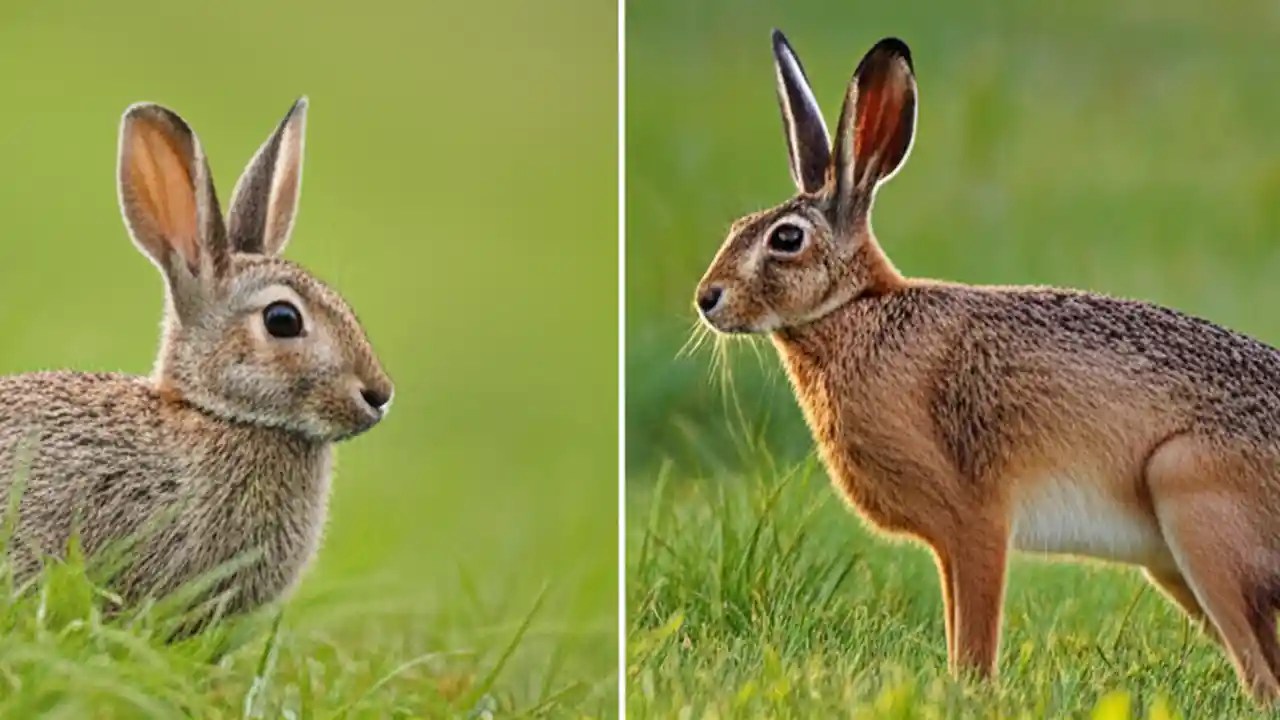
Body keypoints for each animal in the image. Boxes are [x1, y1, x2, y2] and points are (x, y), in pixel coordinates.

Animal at [694, 30, 1280, 704]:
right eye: (740, 226)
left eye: (786, 239)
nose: (706, 299)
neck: (855, 312)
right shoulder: (950, 543)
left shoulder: (975, 523)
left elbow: (973, 636)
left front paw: (968, 693)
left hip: (1192, 507)